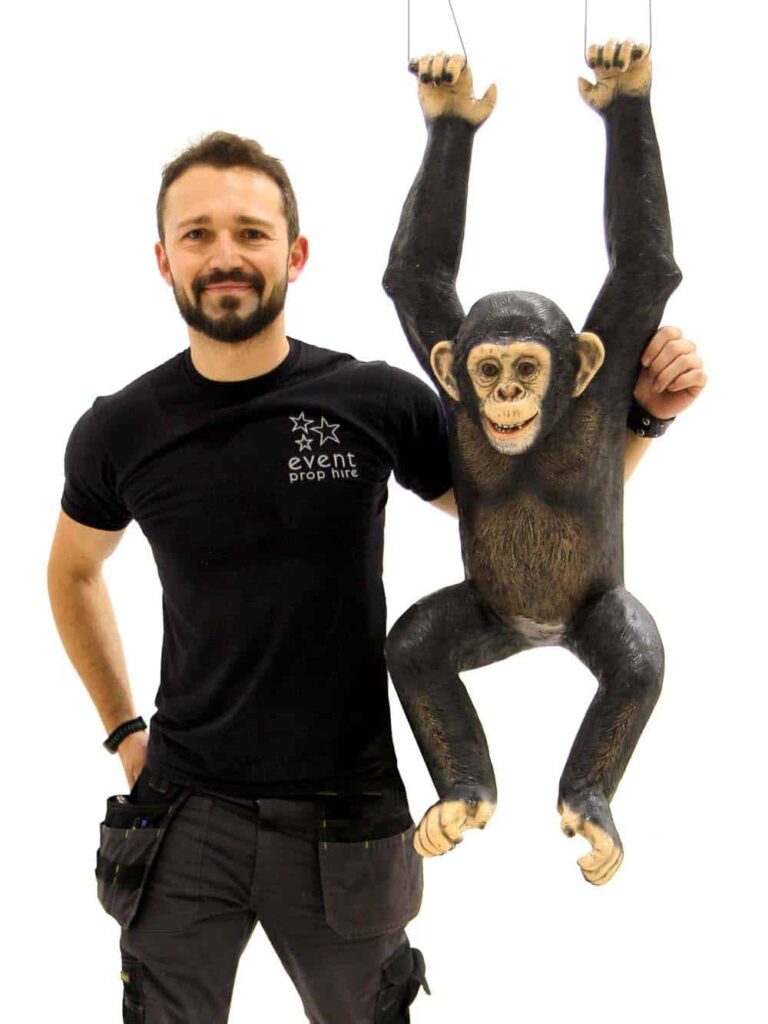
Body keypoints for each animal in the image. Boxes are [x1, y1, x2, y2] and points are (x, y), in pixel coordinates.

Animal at [382, 43, 681, 885]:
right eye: (486, 369)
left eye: (526, 364)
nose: (508, 390)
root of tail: (543, 637)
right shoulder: (439, 353)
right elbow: (414, 273)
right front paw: (449, 103)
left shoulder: (608, 370)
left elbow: (645, 268)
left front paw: (623, 86)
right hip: (488, 621)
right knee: (414, 645)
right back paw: (463, 795)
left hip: (583, 617)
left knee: (634, 656)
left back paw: (589, 803)